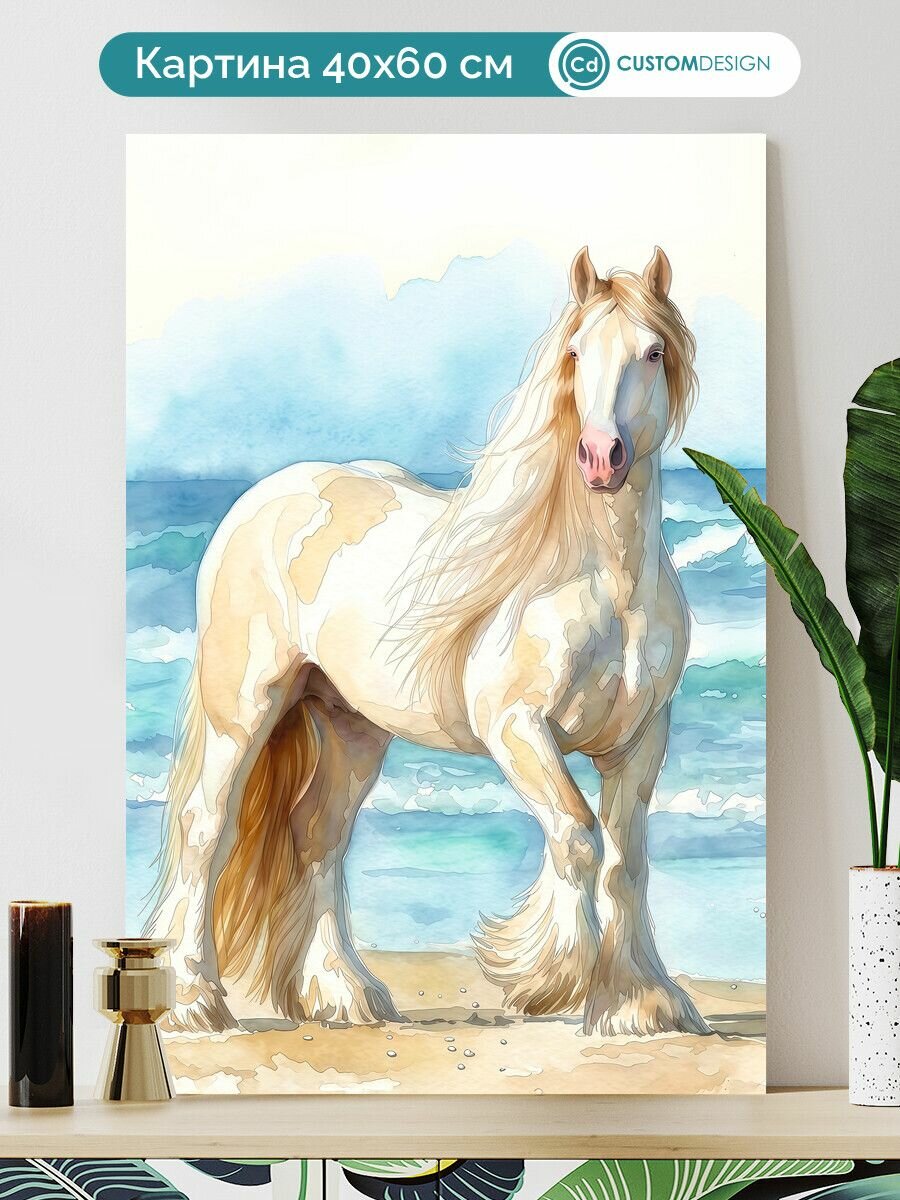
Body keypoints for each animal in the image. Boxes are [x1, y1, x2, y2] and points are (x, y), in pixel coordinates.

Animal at [146, 245, 711, 1040]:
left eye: (653, 352)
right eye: (574, 352)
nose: (601, 456)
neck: (605, 584)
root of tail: (263, 498)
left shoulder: (640, 738)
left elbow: (625, 861)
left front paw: (641, 1002)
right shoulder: (517, 727)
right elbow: (576, 833)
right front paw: (550, 982)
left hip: (349, 725)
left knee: (317, 837)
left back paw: (344, 995)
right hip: (244, 710)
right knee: (206, 829)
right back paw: (197, 1001)